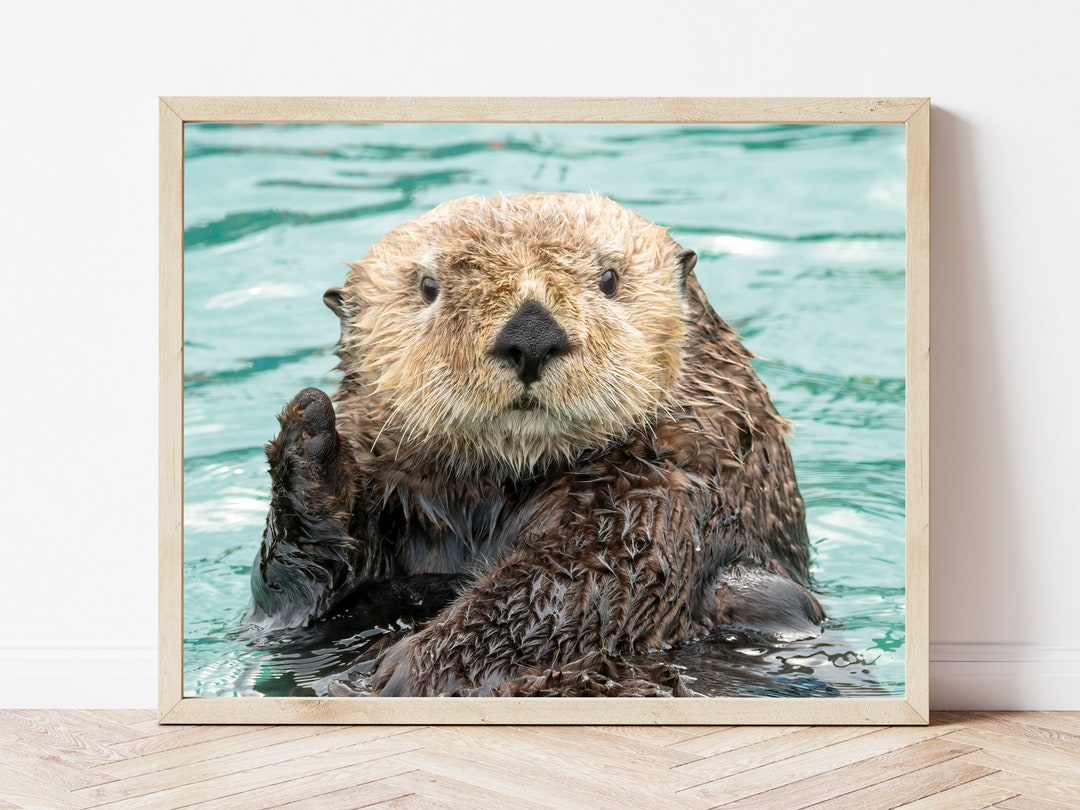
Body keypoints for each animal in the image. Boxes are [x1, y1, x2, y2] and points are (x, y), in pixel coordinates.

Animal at [244, 193, 824, 697]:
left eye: (609, 279)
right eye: (428, 286)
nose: (531, 335)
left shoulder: (673, 483)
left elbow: (579, 583)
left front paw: (409, 668)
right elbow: (290, 604)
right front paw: (310, 432)